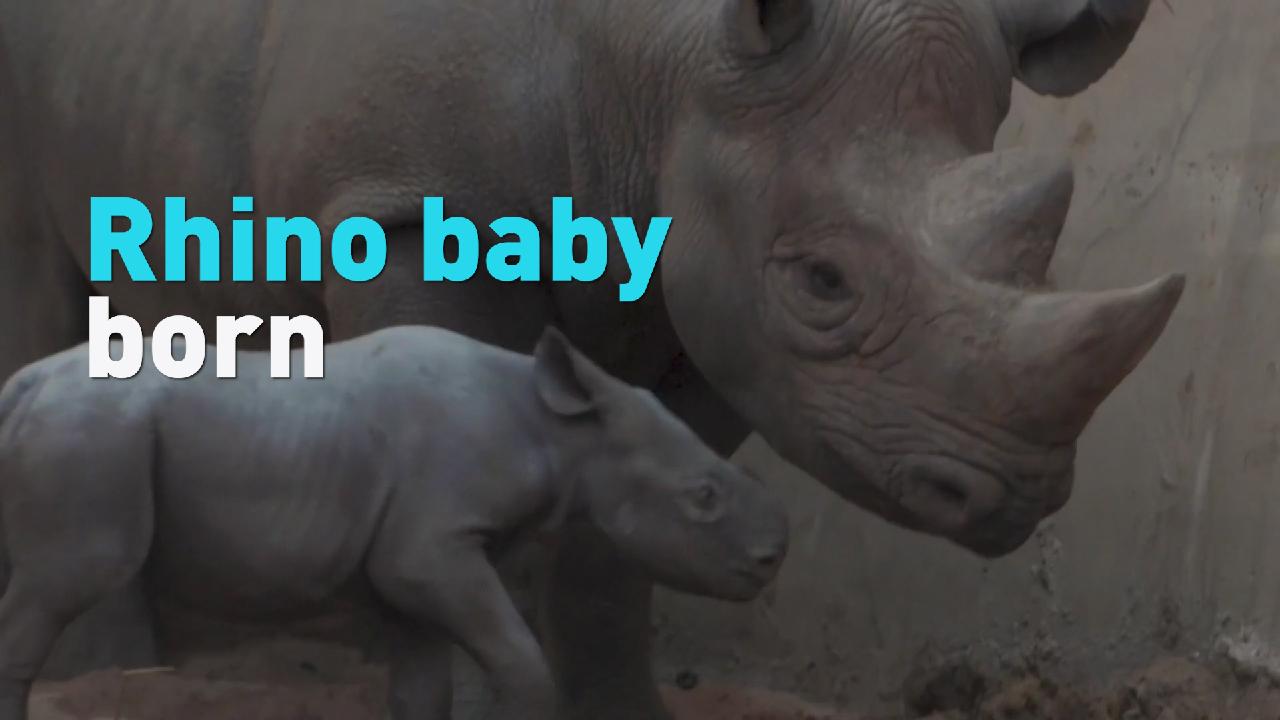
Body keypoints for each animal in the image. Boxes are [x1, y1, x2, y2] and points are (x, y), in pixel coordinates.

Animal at [0, 326, 789, 720]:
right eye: (703, 496)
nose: (772, 558)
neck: (562, 429)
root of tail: (24, 382)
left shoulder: (410, 562)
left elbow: (421, 688)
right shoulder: (431, 546)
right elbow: (522, 663)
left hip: (81, 428)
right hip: (90, 431)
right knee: (71, 578)